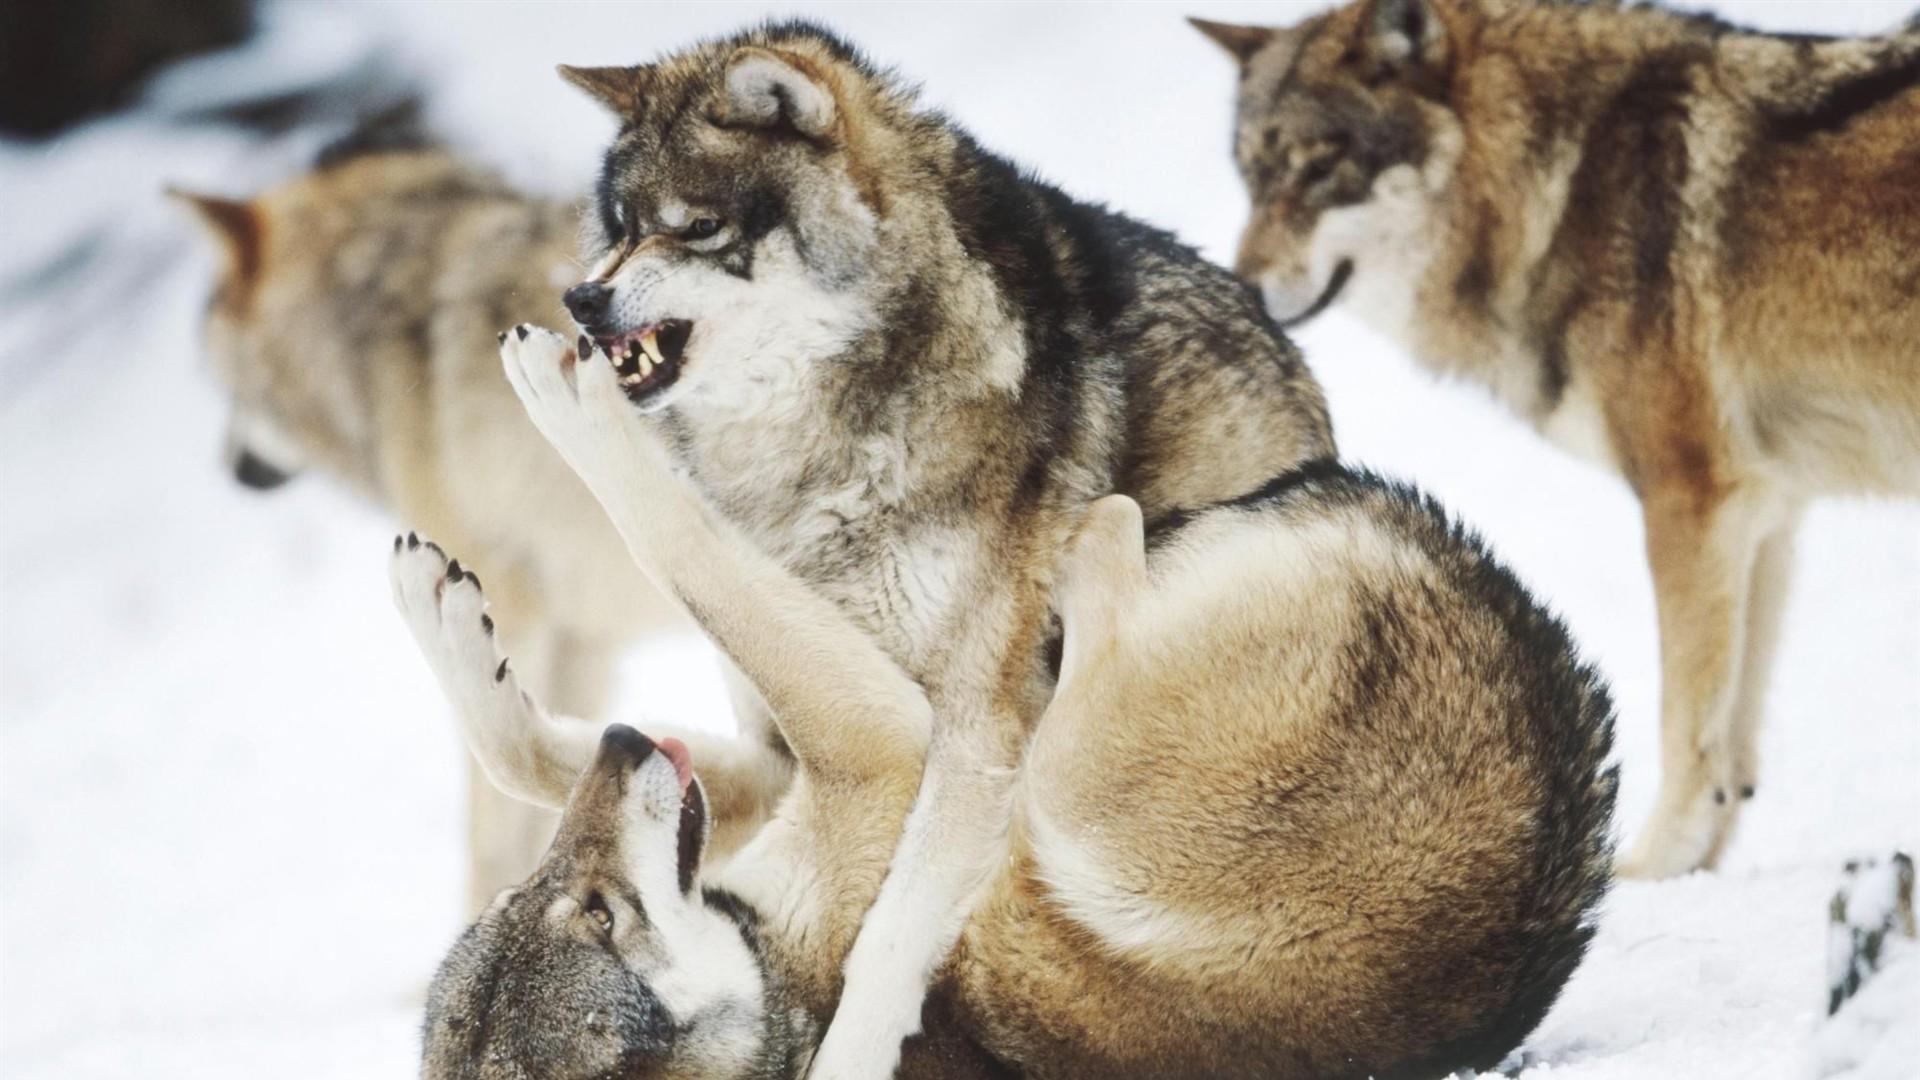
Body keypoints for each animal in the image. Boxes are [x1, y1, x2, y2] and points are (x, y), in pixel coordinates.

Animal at [391, 327, 1617, 1078]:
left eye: (553, 898)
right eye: (593, 913)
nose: (623, 736)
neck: (776, 989)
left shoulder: (836, 763)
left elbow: (536, 741)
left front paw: (447, 614)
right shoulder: (884, 751)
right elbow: (682, 551)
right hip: (1074, 785)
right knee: (1097, 580)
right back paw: (1083, 552)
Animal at [536, 21, 1335, 1075]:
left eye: (696, 227)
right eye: (621, 226)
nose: (581, 300)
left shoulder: (976, 737)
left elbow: (883, 943)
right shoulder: (786, 726)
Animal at [1195, 0, 1920, 878]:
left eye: (1323, 167)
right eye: (1252, 176)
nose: (1239, 287)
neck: (1558, 188)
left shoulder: (1691, 501)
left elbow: (1688, 729)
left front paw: (1649, 874)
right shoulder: (1768, 509)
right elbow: (1734, 746)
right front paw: (1696, 877)